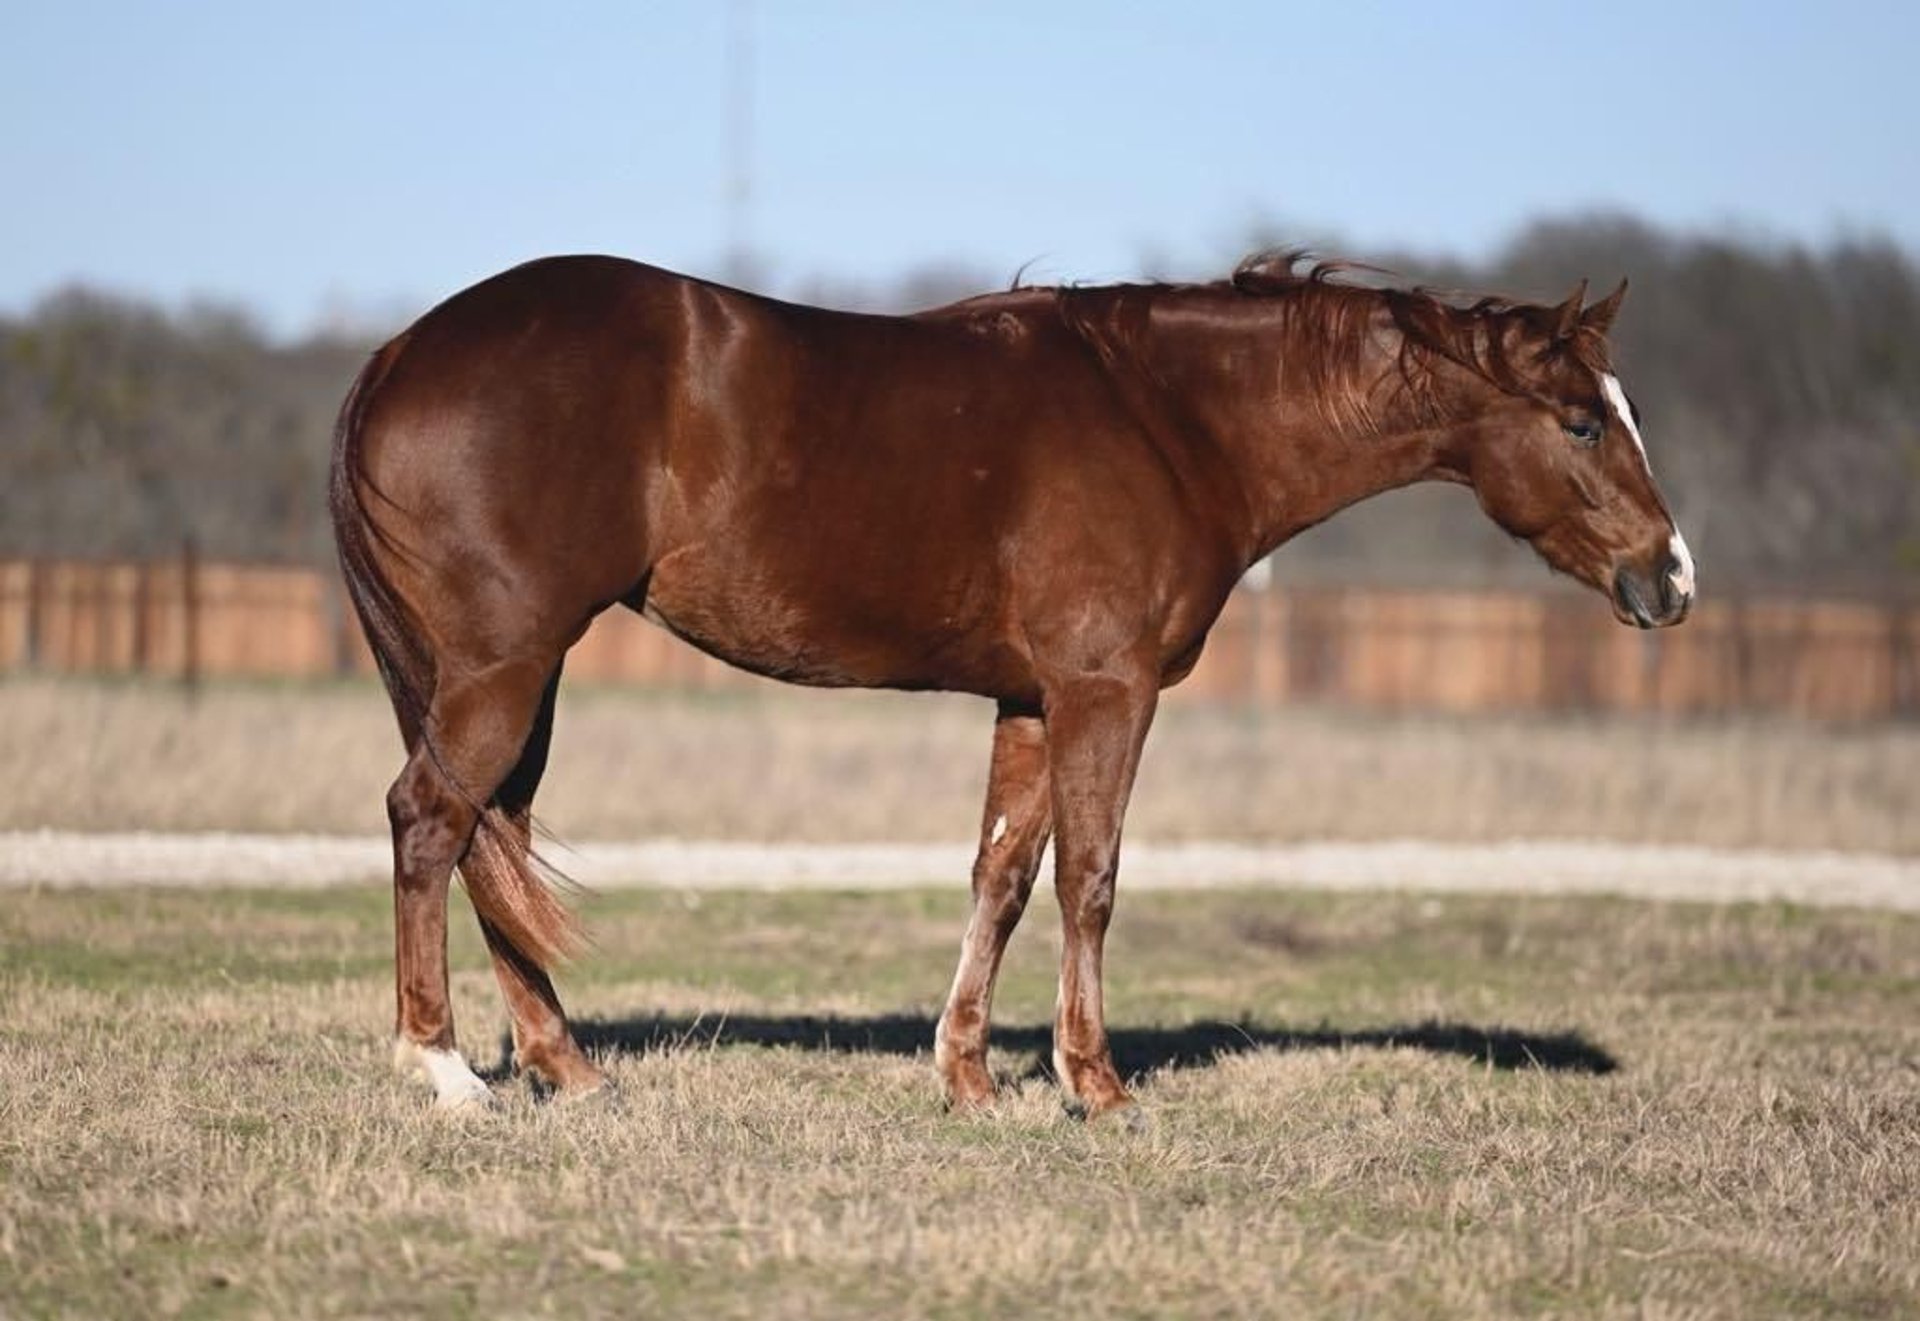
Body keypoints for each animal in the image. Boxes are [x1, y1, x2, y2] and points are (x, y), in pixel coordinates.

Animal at [329, 251, 1695, 1115]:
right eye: (1583, 421)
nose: (1670, 577)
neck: (1170, 420)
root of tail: (400, 349)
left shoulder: (1034, 702)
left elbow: (1003, 874)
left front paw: (971, 1075)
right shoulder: (1106, 691)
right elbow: (1090, 878)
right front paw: (1097, 1084)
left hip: (522, 677)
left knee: (492, 840)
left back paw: (566, 1065)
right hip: (504, 667)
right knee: (430, 822)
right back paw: (443, 1069)